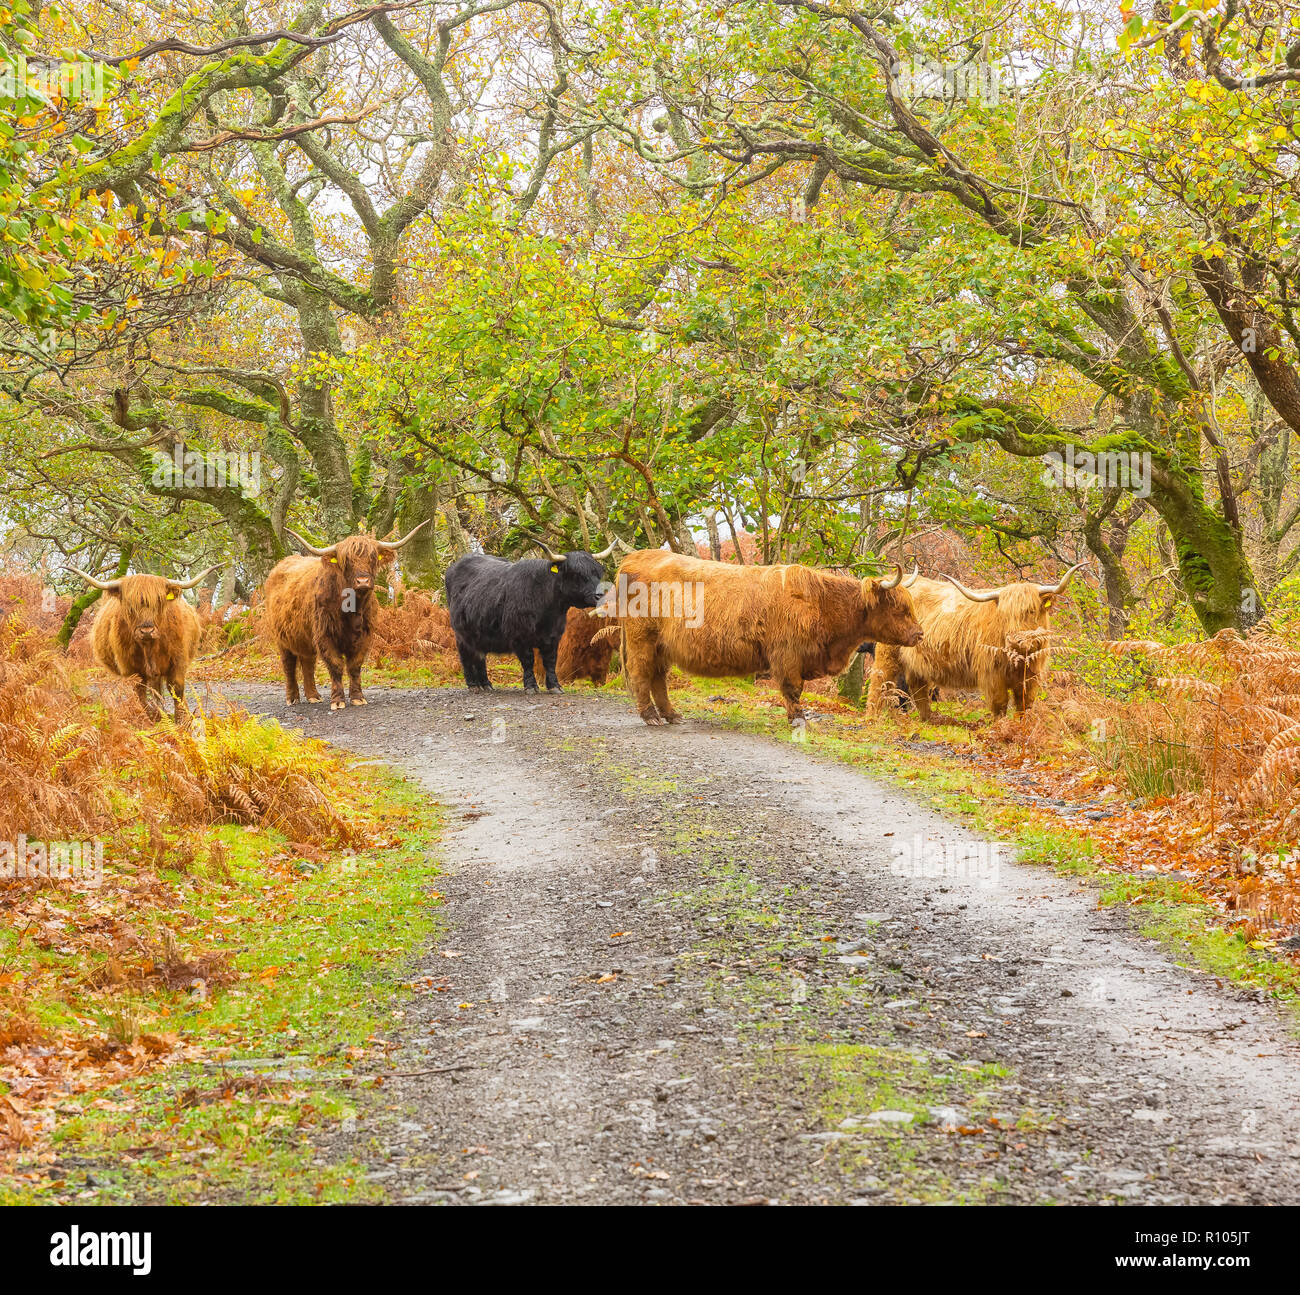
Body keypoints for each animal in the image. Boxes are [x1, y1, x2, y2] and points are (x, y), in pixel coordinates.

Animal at [70, 566, 219, 720]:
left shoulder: (178, 660)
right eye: (130, 605)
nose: (147, 631)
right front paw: (152, 716)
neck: (149, 647)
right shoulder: (131, 668)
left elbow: (176, 688)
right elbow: (140, 693)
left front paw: (183, 719)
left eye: (159, 602)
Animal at [263, 522, 429, 710]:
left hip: (305, 638)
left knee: (308, 663)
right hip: (282, 638)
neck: (352, 611)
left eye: (373, 557)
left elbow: (355, 666)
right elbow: (335, 666)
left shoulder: (364, 636)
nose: (363, 581)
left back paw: (313, 696)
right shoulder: (325, 635)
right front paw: (337, 701)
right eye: (346, 560)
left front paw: (358, 698)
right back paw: (292, 698)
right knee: (289, 665)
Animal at [445, 539, 614, 693]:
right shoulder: (520, 637)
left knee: (480, 657)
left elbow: (550, 661)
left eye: (598, 572)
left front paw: (555, 686)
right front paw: (531, 686)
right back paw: (473, 685)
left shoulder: (553, 637)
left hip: (479, 634)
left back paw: (486, 684)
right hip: (461, 635)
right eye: (576, 574)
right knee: (466, 657)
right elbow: (528, 661)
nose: (600, 595)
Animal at [608, 551, 923, 726]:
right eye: (899, 608)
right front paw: (798, 719)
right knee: (640, 674)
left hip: (661, 646)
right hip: (642, 640)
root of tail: (634, 557)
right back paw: (650, 716)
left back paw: (671, 714)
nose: (920, 634)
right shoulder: (787, 655)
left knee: (658, 678)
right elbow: (792, 689)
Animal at [866, 564, 1085, 720]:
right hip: (888, 652)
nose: (1015, 639)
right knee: (880, 681)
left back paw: (929, 719)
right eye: (1004, 614)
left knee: (918, 687)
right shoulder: (992, 674)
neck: (1018, 659)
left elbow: (1024, 704)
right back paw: (873, 716)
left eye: (1030, 611)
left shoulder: (1031, 676)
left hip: (917, 662)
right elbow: (999, 703)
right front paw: (1000, 728)